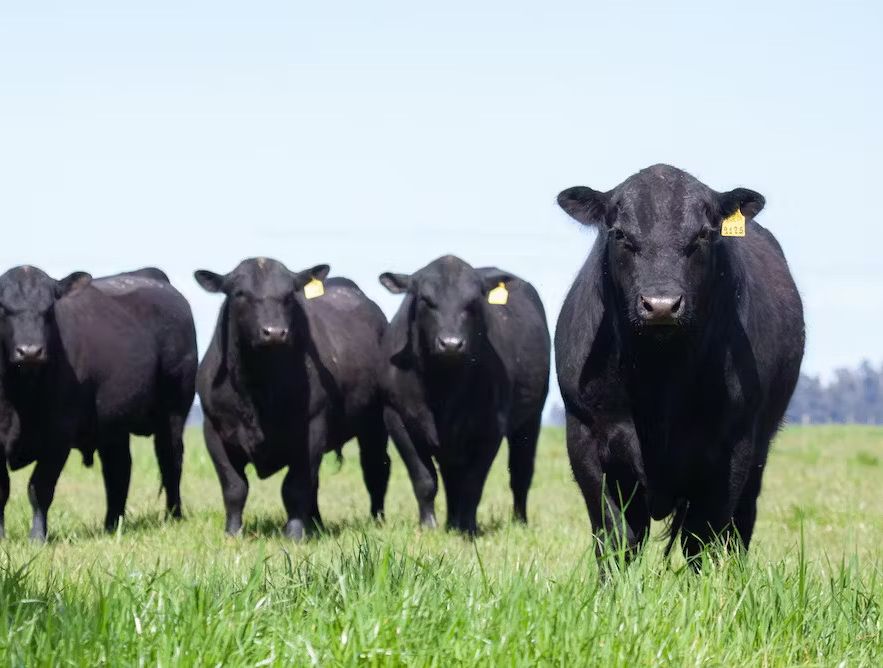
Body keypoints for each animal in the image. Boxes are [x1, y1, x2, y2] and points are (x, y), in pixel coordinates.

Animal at [0, 265, 197, 541]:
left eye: (49, 310)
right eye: (3, 308)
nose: (30, 351)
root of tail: (152, 276)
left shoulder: (59, 436)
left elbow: (40, 488)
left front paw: (37, 537)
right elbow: (2, 491)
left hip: (173, 411)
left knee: (170, 461)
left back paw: (173, 516)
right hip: (113, 425)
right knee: (119, 470)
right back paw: (112, 524)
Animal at [195, 258, 389, 541]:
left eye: (289, 295)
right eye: (240, 293)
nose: (275, 332)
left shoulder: (311, 429)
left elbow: (295, 487)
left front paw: (295, 534)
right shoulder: (214, 431)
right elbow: (234, 487)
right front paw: (232, 533)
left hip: (375, 423)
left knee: (376, 468)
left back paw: (376, 520)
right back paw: (316, 523)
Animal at [378, 255, 550, 534]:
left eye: (473, 302)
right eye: (426, 299)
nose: (451, 343)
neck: (443, 387)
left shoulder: (490, 428)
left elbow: (473, 483)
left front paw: (468, 528)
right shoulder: (396, 418)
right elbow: (425, 479)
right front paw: (429, 526)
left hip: (531, 418)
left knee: (521, 474)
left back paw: (519, 522)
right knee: (451, 478)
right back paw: (451, 522)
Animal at [555, 164, 804, 563]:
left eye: (703, 234)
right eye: (620, 233)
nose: (661, 305)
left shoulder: (733, 446)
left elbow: (701, 537)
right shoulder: (585, 436)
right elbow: (615, 535)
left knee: (740, 524)